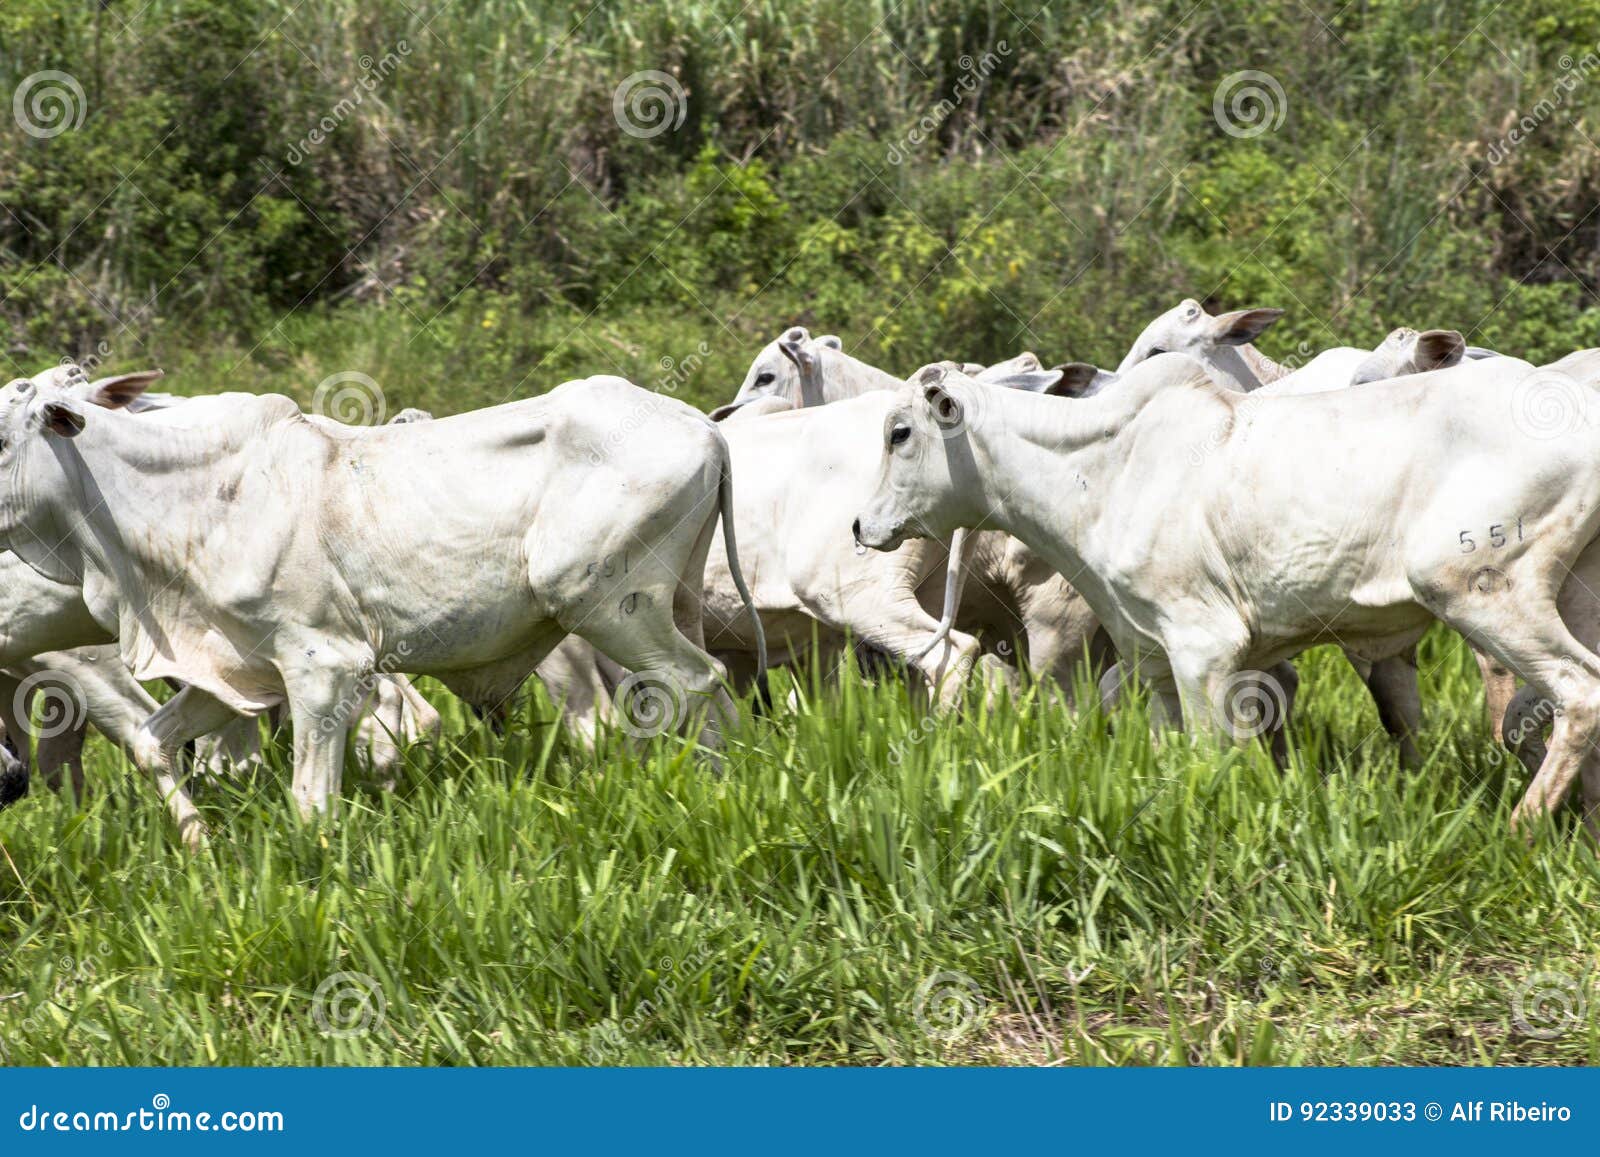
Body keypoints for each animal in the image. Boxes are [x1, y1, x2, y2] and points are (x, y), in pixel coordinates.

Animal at [0, 372, 761, 845]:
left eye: (2, 434)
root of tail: (705, 428)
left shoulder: (325, 666)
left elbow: (311, 803)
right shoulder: (237, 670)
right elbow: (152, 741)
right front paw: (199, 843)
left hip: (607, 604)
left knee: (691, 683)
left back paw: (703, 786)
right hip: (670, 603)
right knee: (705, 690)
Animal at [851, 355, 1600, 839]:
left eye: (900, 432)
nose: (860, 525)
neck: (1103, 470)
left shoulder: (1203, 647)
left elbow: (1211, 757)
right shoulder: (1153, 657)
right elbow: (1173, 751)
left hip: (1479, 589)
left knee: (1579, 692)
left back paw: (1519, 830)